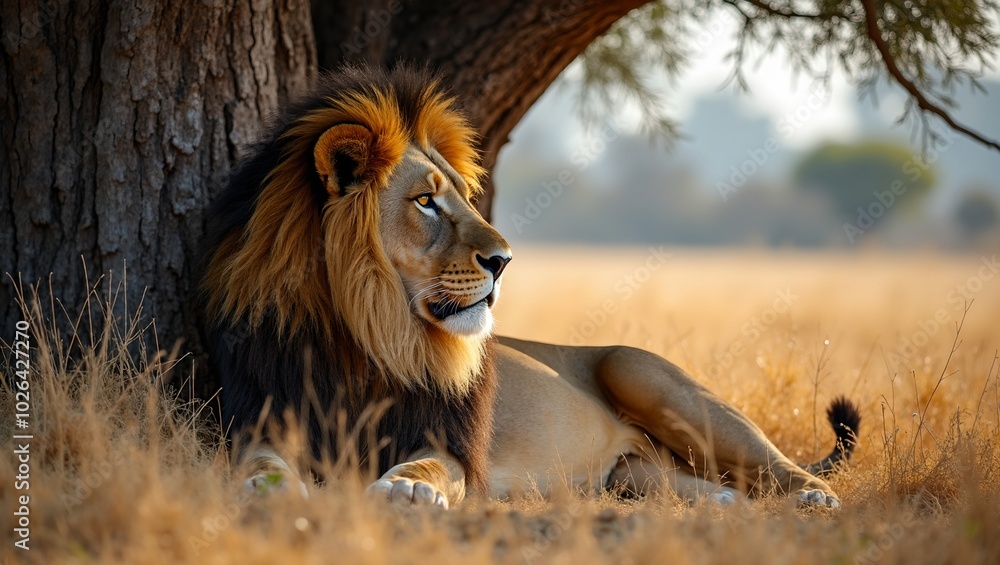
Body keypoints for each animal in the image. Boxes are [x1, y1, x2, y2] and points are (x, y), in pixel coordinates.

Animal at [201, 63, 860, 510]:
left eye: (462, 198)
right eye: (425, 201)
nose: (503, 260)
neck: (363, 333)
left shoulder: (451, 443)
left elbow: (429, 468)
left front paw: (408, 491)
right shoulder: (262, 416)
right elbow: (256, 461)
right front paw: (266, 487)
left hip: (647, 375)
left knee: (780, 465)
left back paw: (813, 498)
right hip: (636, 474)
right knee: (715, 490)